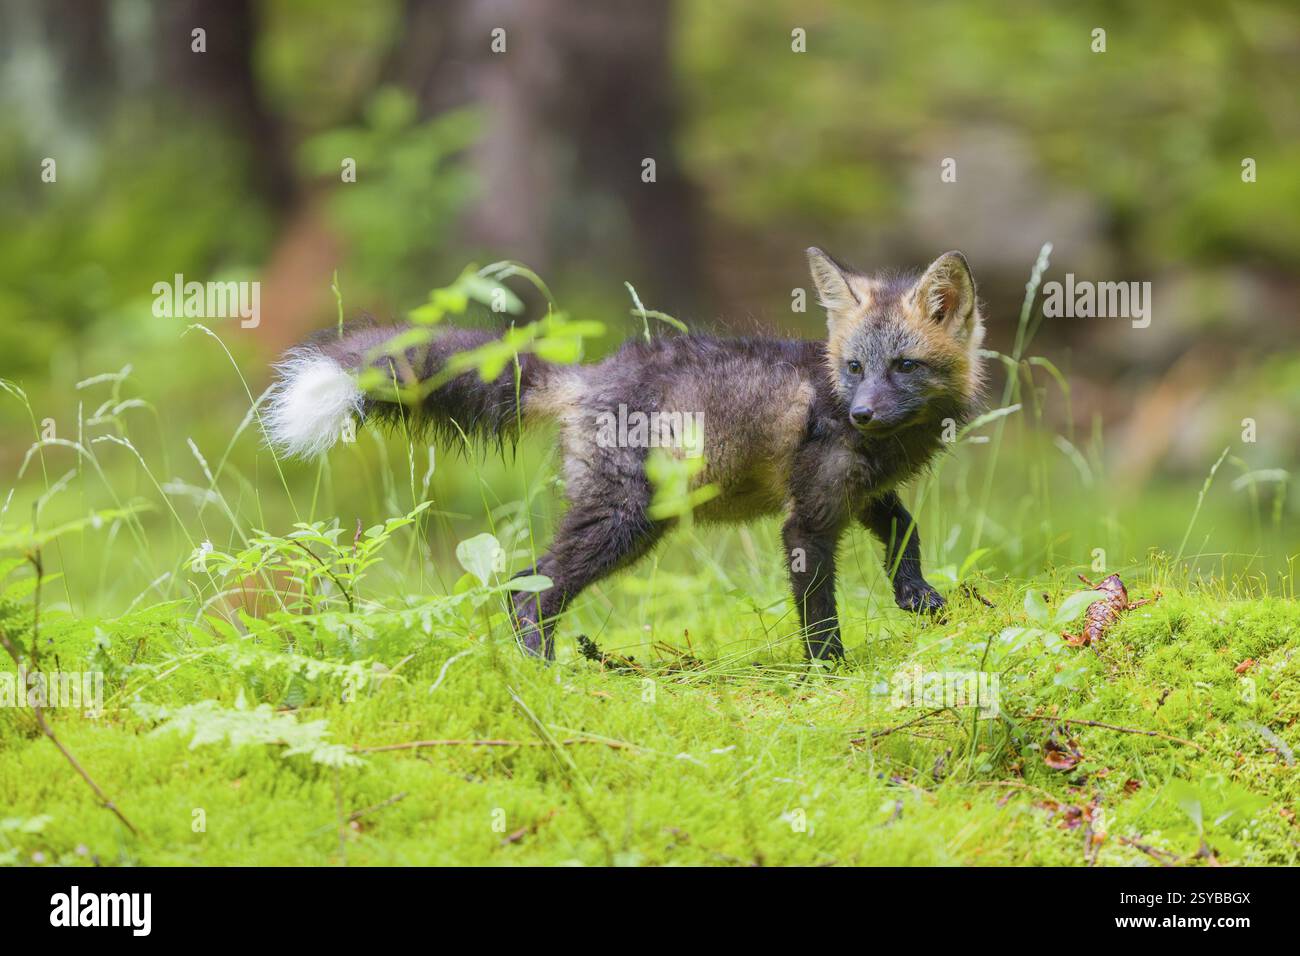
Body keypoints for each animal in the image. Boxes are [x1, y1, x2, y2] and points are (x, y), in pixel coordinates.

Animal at [265, 249, 986, 660]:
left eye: (903, 366)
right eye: (855, 367)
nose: (861, 413)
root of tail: (590, 375)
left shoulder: (856, 494)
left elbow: (907, 529)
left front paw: (918, 594)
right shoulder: (806, 520)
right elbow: (818, 612)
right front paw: (828, 670)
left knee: (526, 583)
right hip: (626, 522)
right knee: (528, 588)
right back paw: (542, 671)